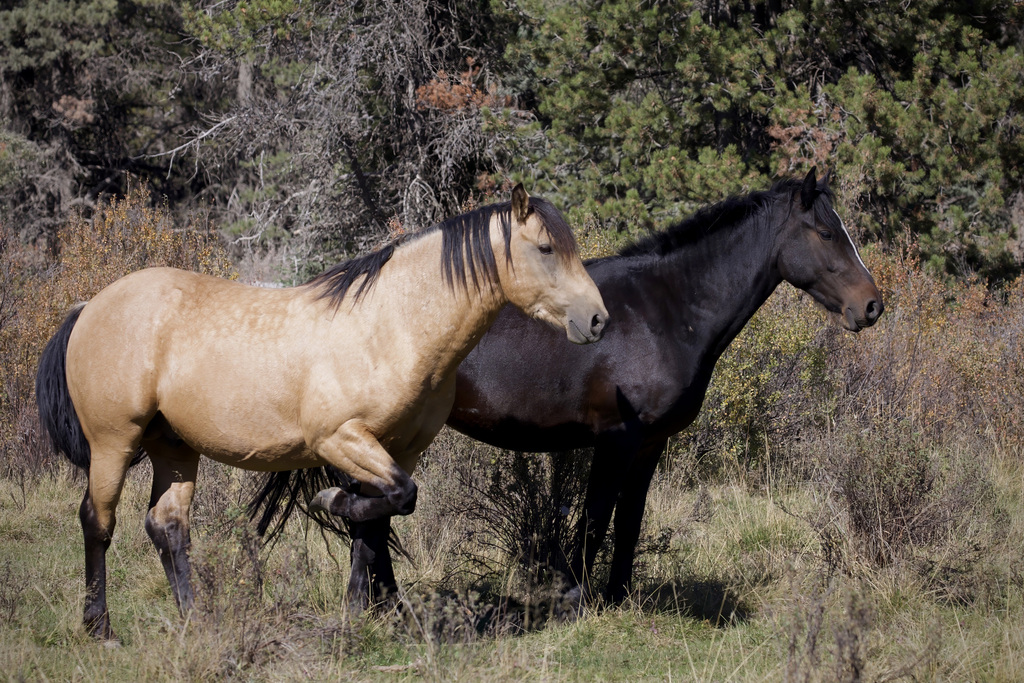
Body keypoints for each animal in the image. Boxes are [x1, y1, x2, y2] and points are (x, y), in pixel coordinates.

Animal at [36, 184, 609, 640]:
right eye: (545, 248)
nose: (597, 320)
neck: (390, 328)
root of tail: (88, 306)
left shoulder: (399, 449)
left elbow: (377, 523)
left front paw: (359, 615)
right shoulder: (340, 439)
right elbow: (394, 502)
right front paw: (327, 504)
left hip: (173, 448)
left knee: (167, 525)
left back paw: (196, 622)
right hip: (114, 442)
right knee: (98, 521)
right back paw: (100, 629)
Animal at [298, 168, 882, 609]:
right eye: (826, 233)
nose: (872, 306)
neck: (665, 311)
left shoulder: (650, 444)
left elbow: (628, 523)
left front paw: (619, 597)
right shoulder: (617, 438)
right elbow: (595, 519)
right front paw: (576, 599)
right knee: (370, 518)